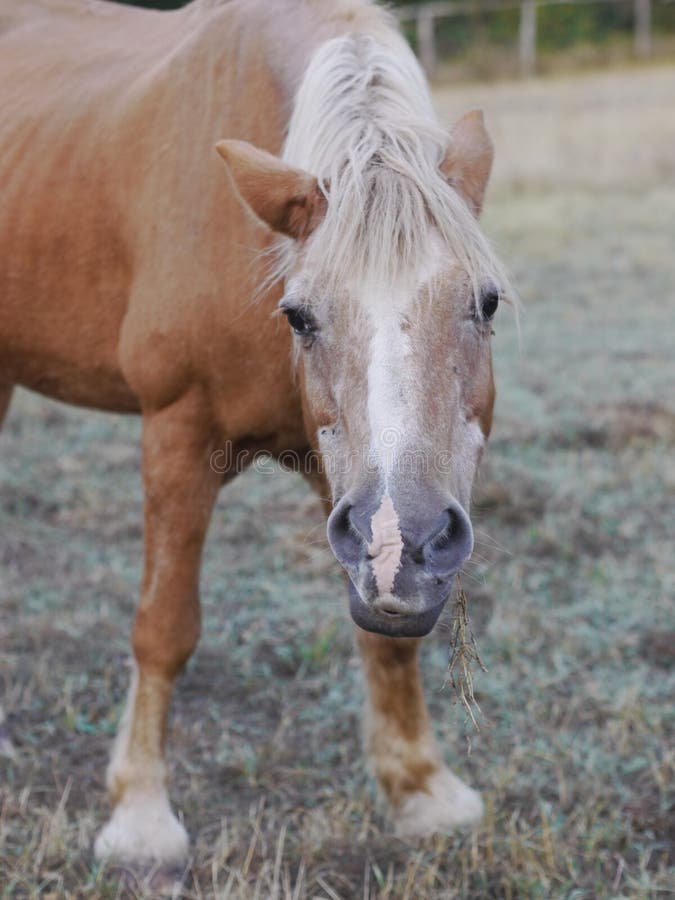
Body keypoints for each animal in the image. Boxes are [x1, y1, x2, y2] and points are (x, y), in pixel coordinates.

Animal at [0, 0, 510, 875]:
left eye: (486, 302)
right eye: (297, 315)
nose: (404, 540)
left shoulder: (346, 487)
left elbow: (385, 636)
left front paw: (420, 788)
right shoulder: (175, 432)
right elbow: (164, 626)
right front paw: (140, 815)